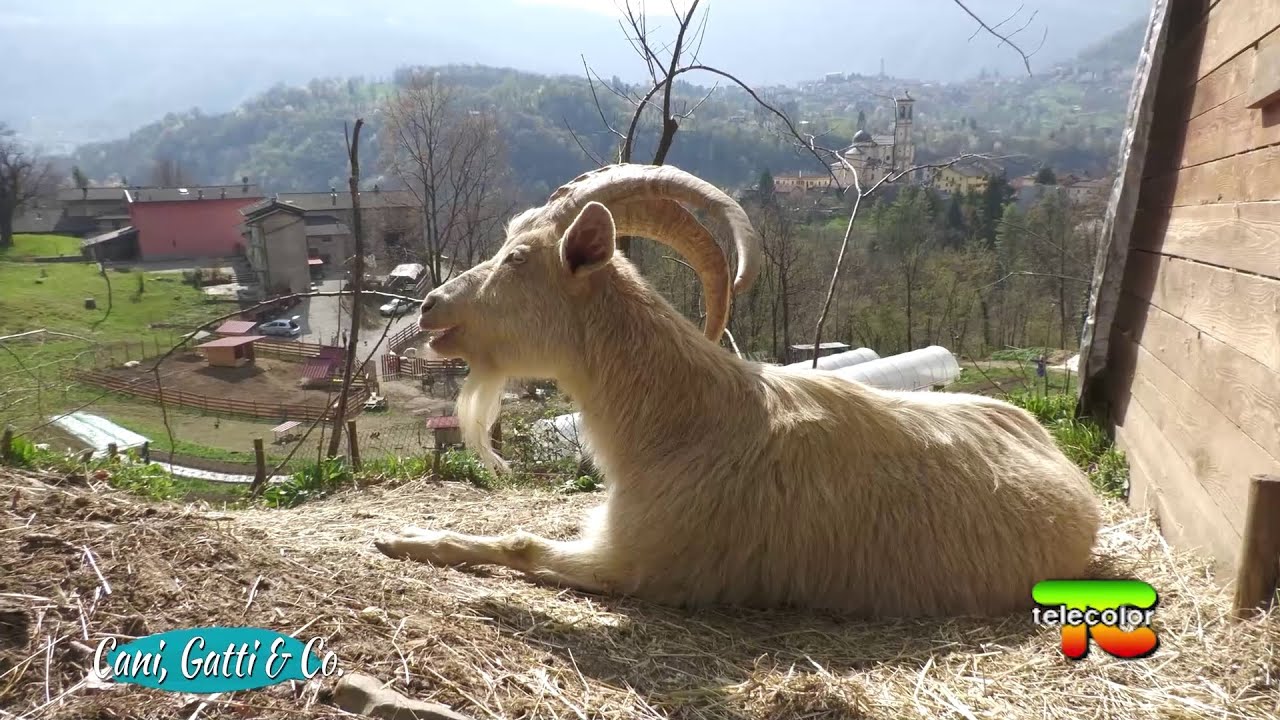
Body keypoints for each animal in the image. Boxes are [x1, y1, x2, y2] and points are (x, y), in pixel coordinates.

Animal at [374, 163, 1102, 619]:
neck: (686, 424)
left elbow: (520, 545)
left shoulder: (634, 565)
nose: (431, 306)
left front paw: (402, 539)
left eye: (518, 259)